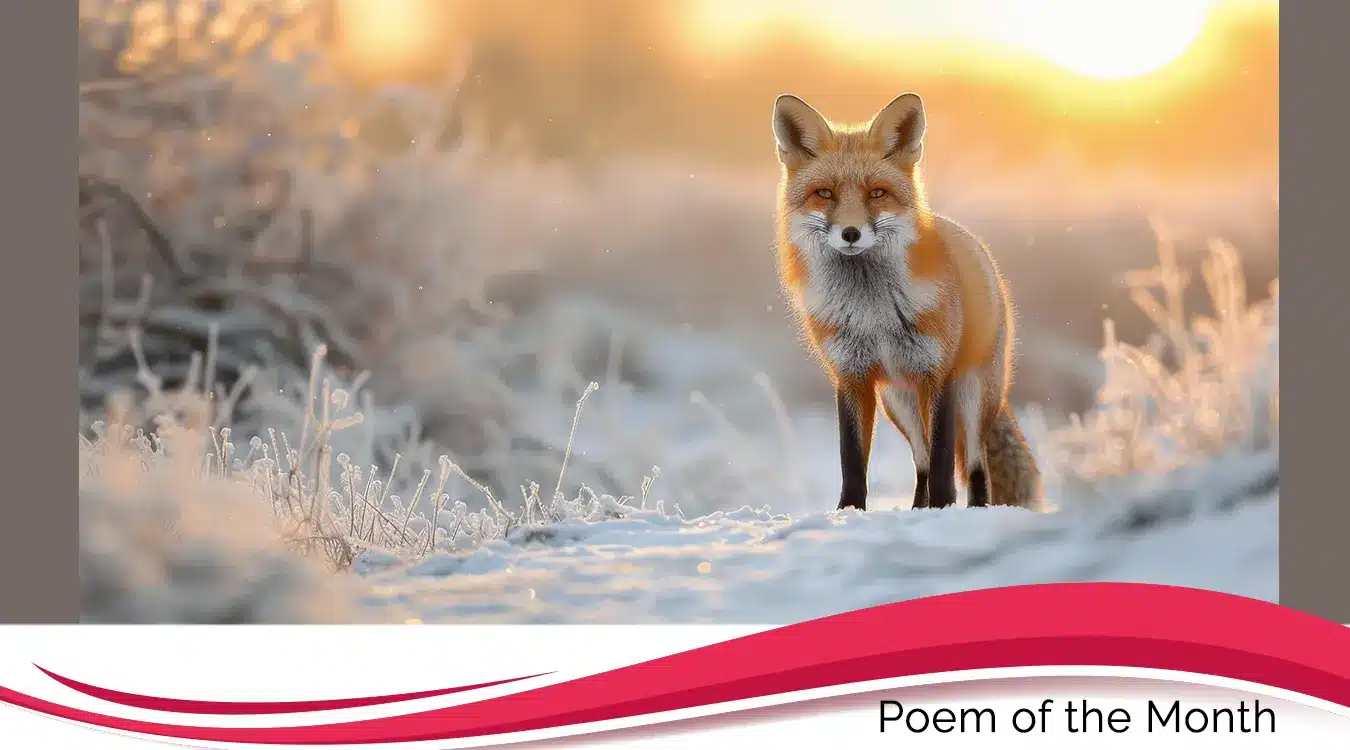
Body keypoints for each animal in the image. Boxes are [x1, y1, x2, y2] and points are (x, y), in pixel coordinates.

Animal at [771, 91, 1042, 512]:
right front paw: (849, 513)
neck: (872, 311)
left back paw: (973, 509)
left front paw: (942, 510)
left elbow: (946, 459)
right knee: (922, 459)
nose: (851, 233)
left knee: (974, 463)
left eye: (877, 193)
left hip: (972, 395)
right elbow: (853, 460)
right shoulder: (851, 376)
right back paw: (917, 508)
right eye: (825, 193)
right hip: (899, 402)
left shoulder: (939, 374)